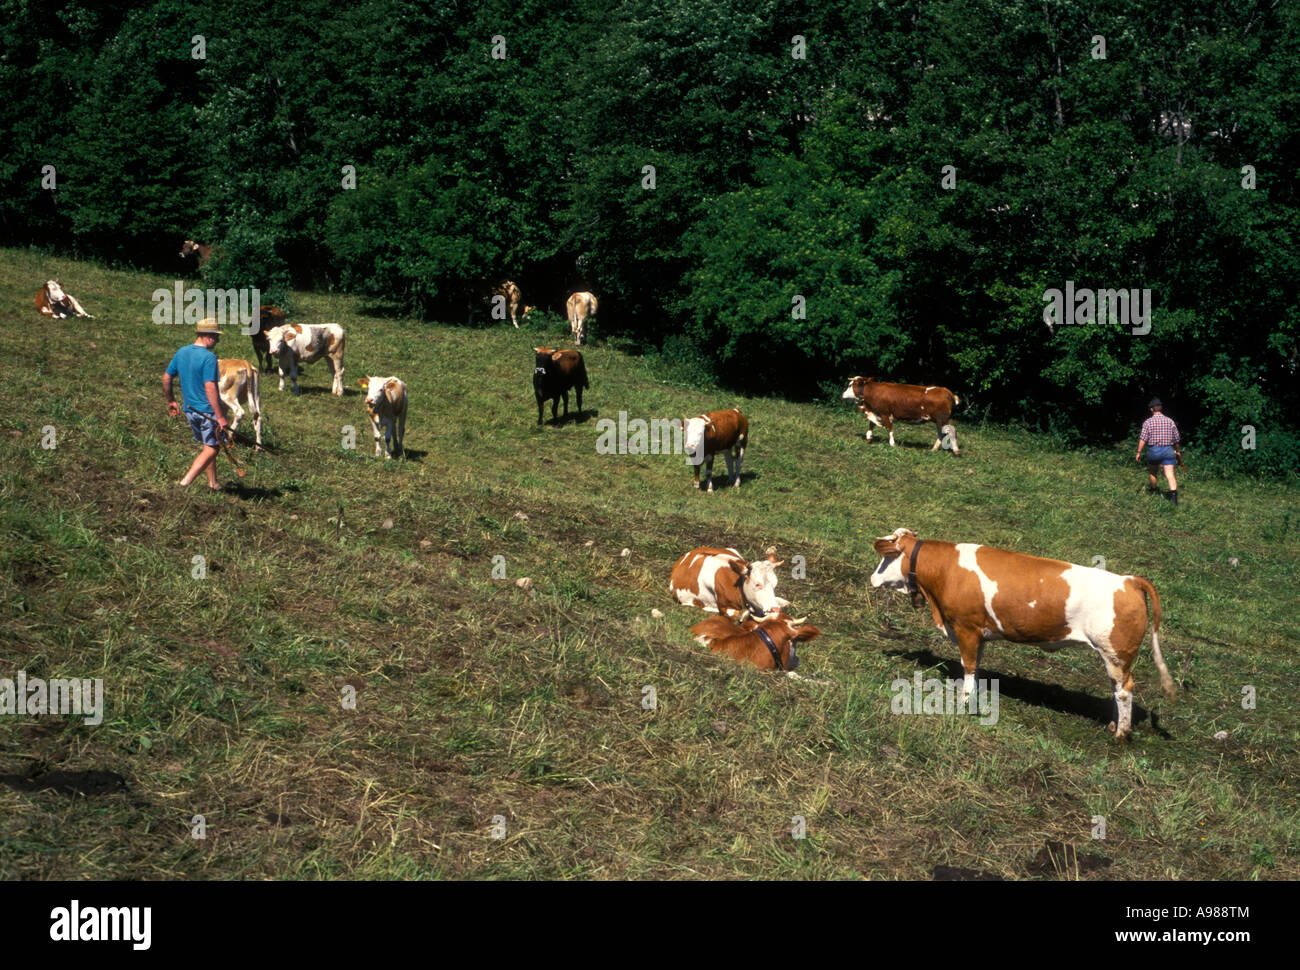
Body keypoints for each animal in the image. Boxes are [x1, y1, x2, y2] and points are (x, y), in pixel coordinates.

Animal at [869, 528, 1176, 741]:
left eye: (886, 557)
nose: (872, 579)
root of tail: (1130, 580)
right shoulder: (978, 633)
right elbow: (976, 667)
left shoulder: (965, 628)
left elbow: (967, 667)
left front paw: (964, 704)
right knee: (1116, 689)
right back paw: (1113, 725)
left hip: (1116, 653)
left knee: (1124, 690)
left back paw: (1120, 734)